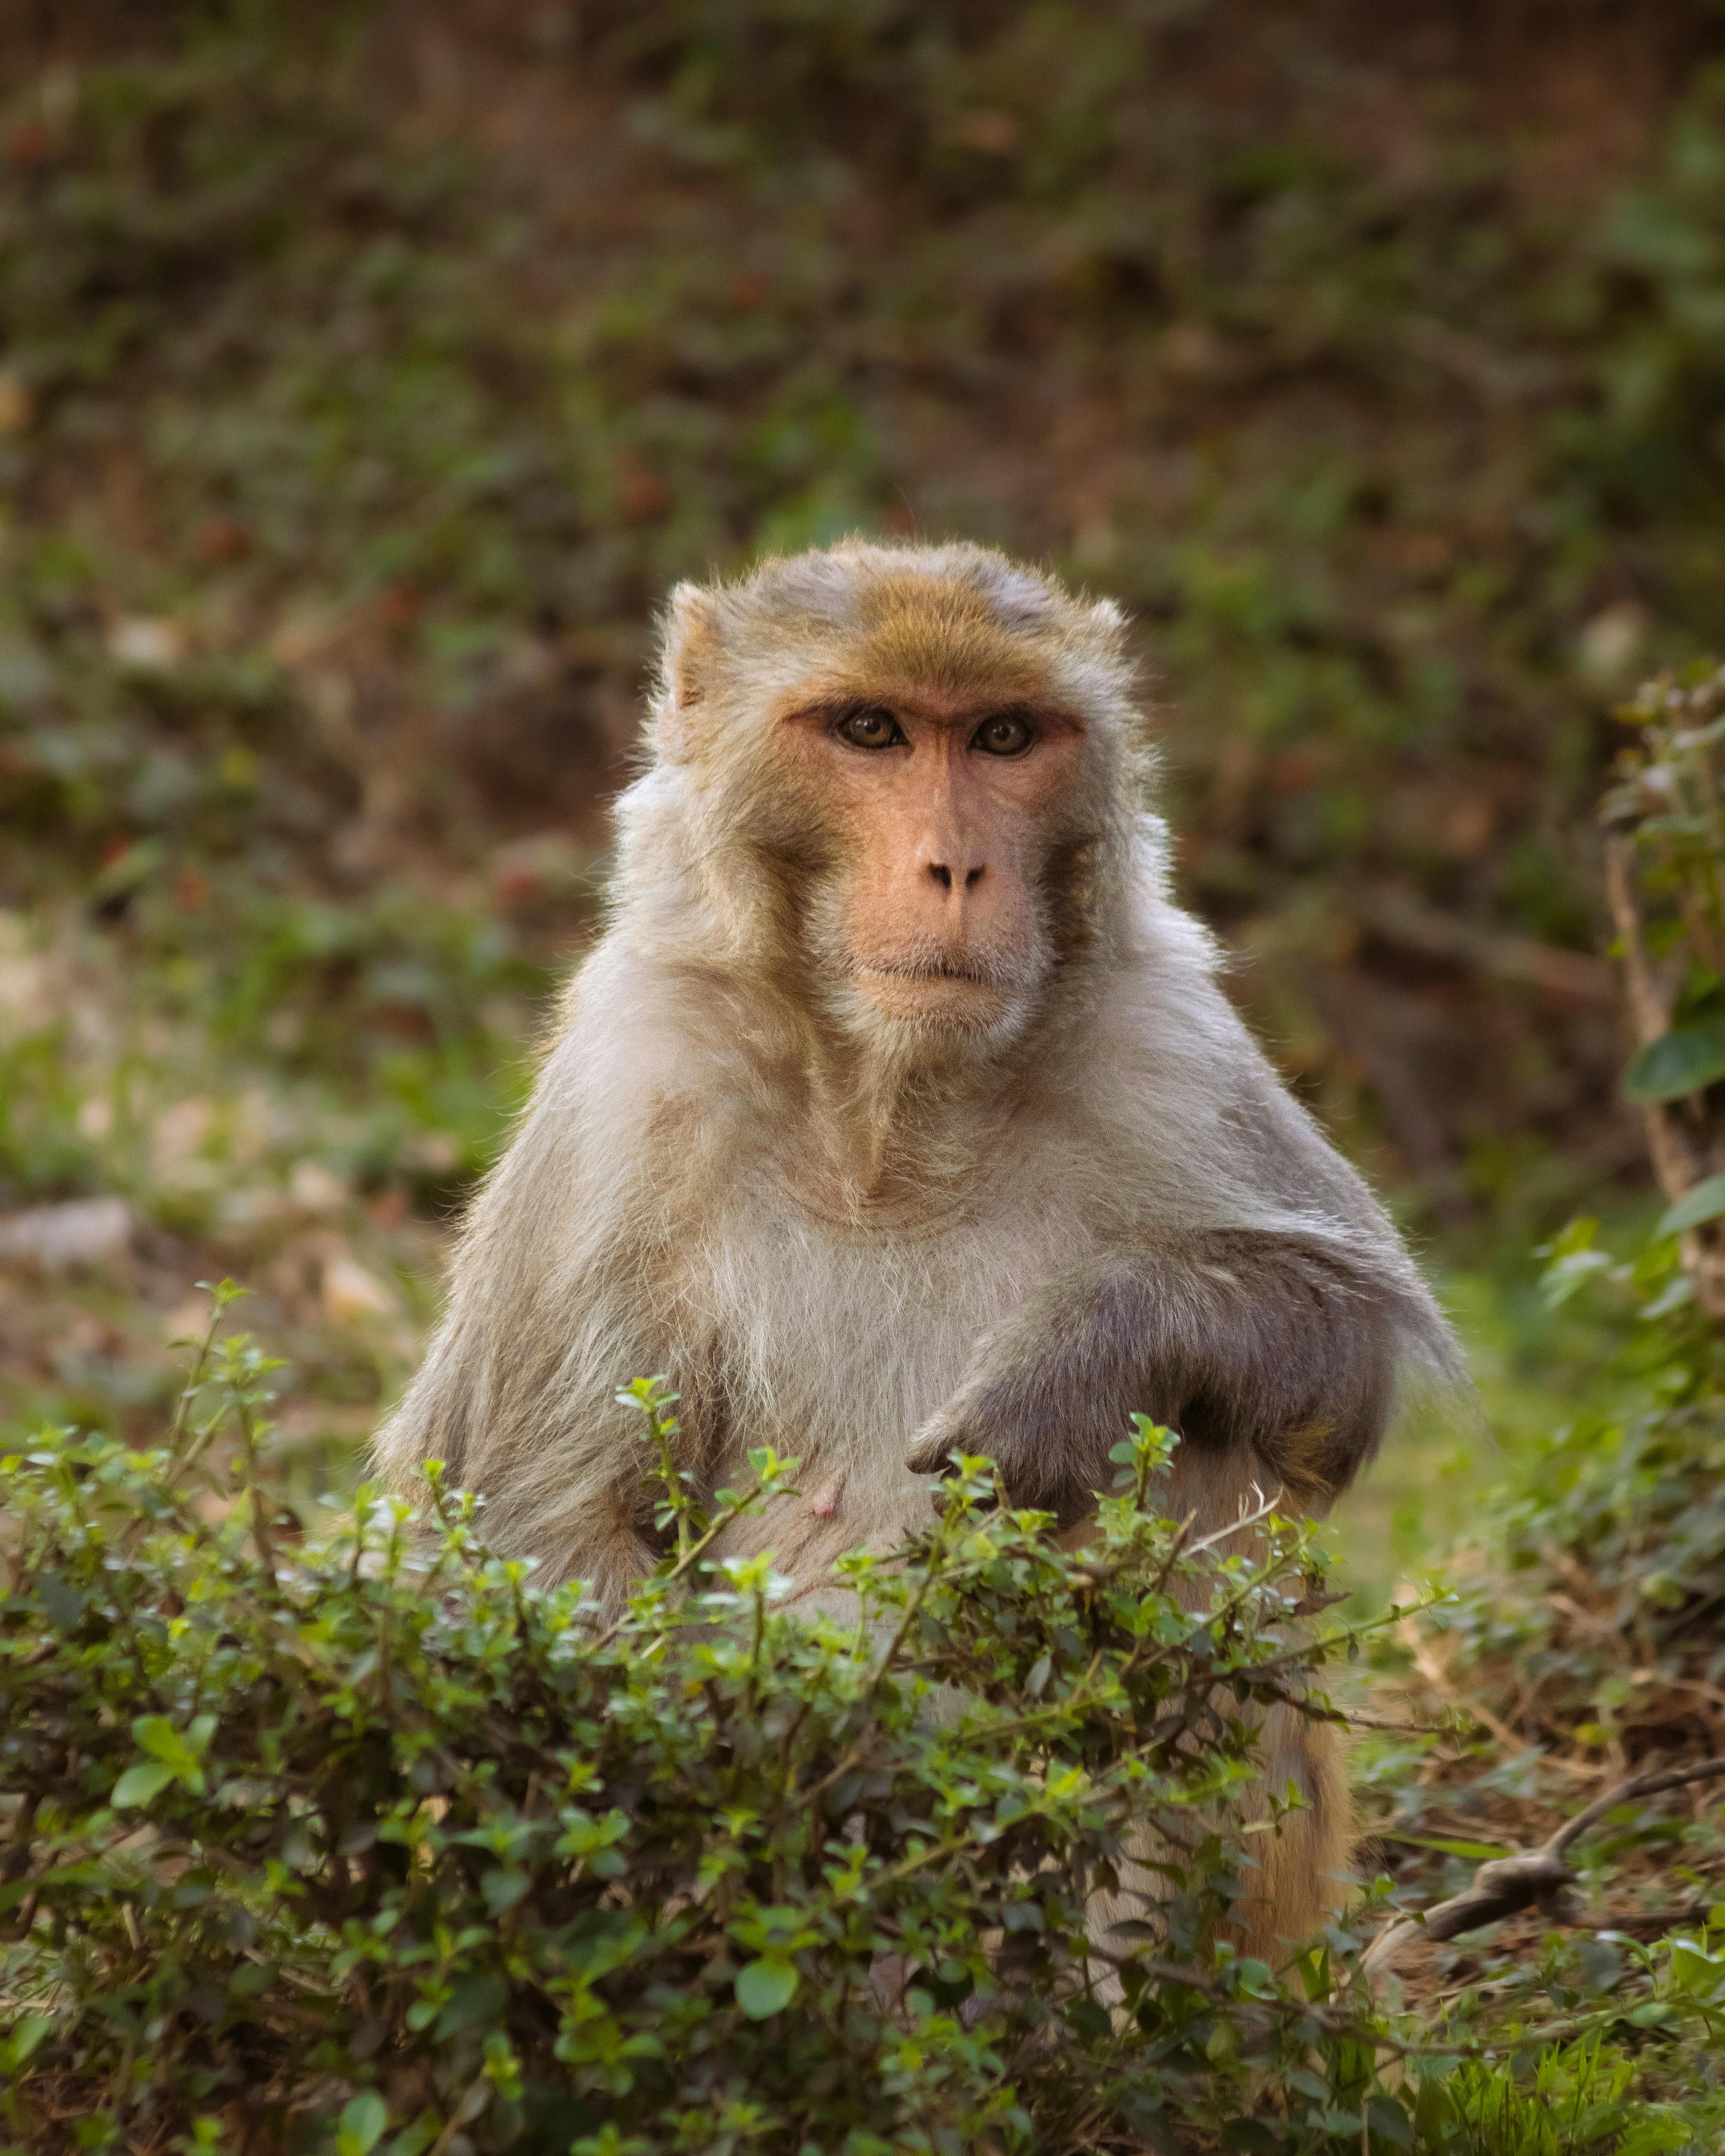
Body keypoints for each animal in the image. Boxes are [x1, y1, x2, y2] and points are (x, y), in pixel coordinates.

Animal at [374, 538, 1456, 1956]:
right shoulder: (630, 1078)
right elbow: (533, 1513)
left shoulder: (1162, 1033)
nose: (957, 869)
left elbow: (1347, 1349)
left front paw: (1072, 1369)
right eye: (871, 731)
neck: (889, 1112)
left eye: (1002, 736)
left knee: (1206, 1453)